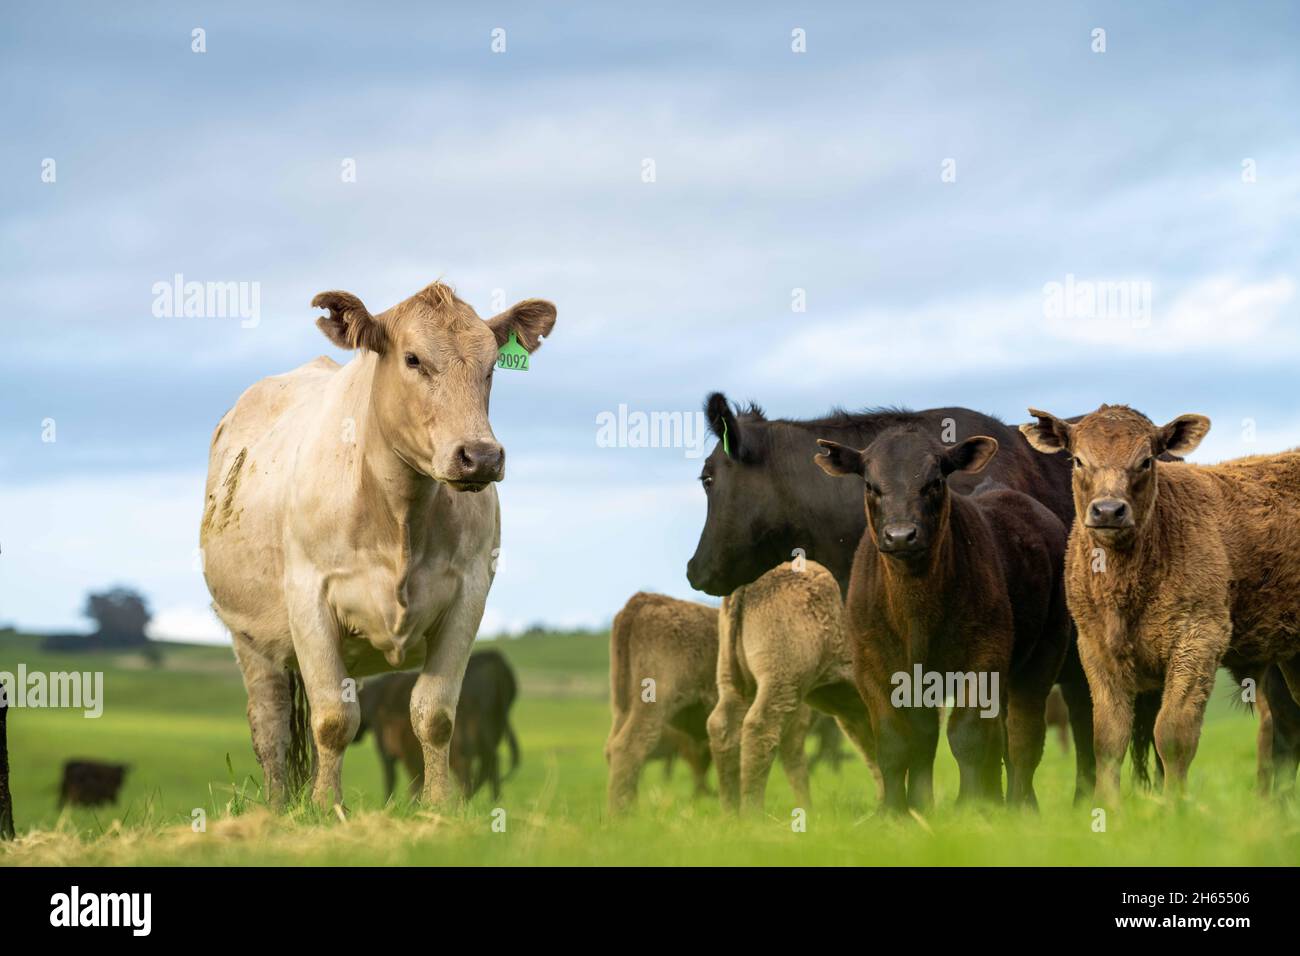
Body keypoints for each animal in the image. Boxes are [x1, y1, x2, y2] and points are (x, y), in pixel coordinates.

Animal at [708, 560, 880, 815]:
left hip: (733, 682)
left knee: (723, 727)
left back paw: (731, 814)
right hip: (783, 681)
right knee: (761, 729)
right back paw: (753, 814)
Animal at [817, 426, 1071, 811]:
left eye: (934, 482)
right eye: (870, 485)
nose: (901, 535)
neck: (916, 614)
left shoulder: (983, 658)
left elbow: (966, 734)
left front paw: (968, 806)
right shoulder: (872, 665)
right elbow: (897, 741)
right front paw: (900, 810)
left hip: (1043, 654)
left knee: (1023, 735)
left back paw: (1019, 806)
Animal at [1020, 405, 1300, 803]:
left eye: (1147, 460)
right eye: (1077, 459)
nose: (1109, 510)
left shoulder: (1198, 640)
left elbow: (1173, 734)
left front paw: (1174, 807)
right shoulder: (1096, 649)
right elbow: (1108, 739)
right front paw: (1109, 808)